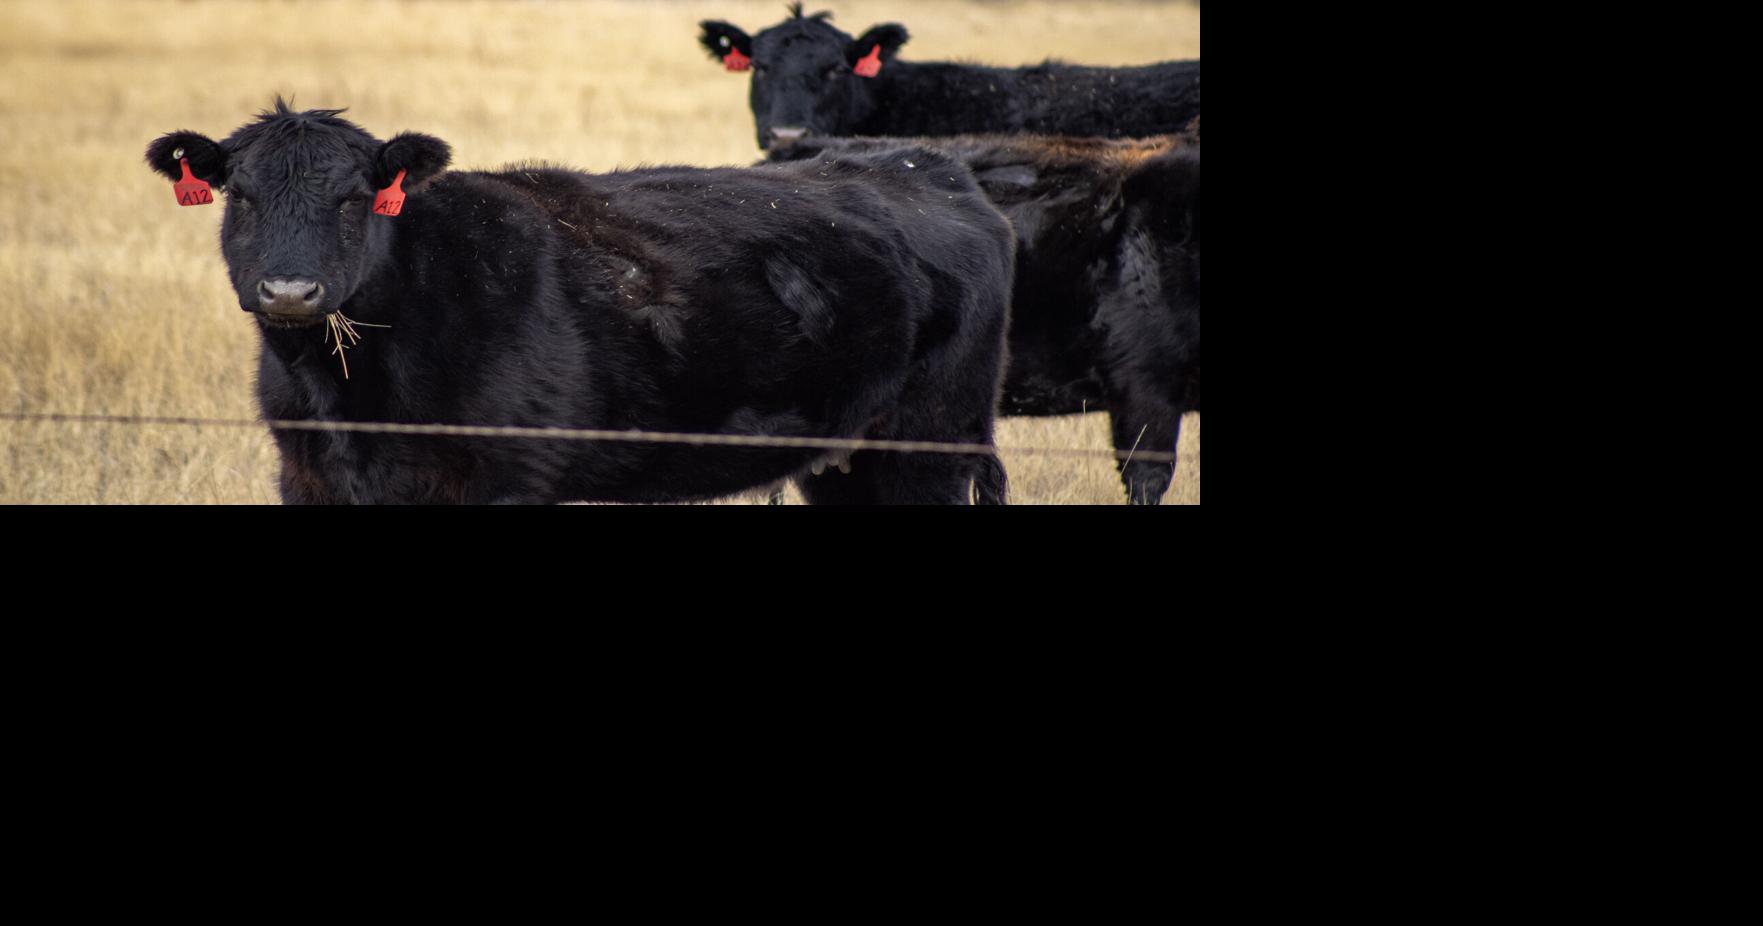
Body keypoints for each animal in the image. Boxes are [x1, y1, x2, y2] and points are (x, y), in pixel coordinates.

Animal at [144, 100, 1014, 505]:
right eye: (241, 195)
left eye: (356, 198)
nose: (291, 291)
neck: (352, 398)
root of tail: (922, 163)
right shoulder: (309, 476)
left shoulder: (505, 477)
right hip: (849, 457)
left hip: (929, 439)